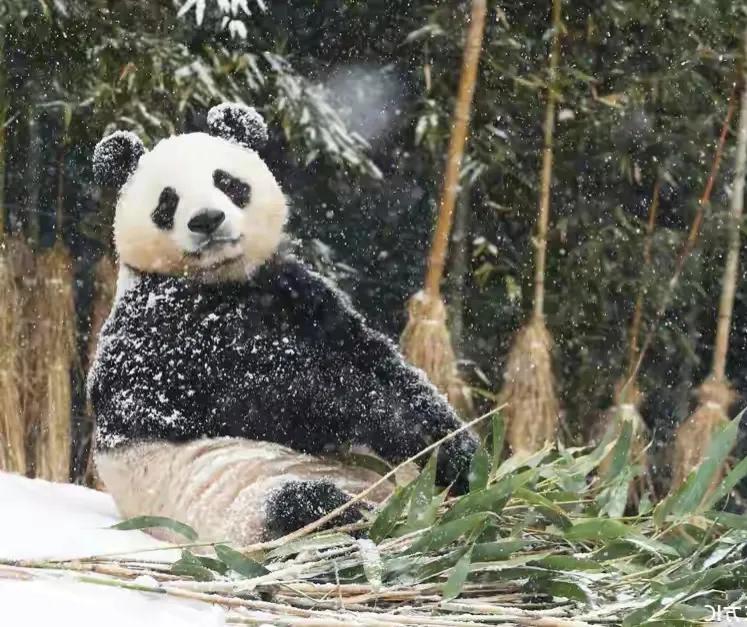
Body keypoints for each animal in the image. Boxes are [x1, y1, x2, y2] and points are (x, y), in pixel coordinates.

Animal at [88, 102, 478, 545]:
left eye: (226, 182)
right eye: (167, 202)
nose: (207, 219)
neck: (226, 279)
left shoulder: (297, 293)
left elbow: (382, 363)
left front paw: (457, 452)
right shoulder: (162, 332)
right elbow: (271, 395)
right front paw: (391, 422)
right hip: (243, 502)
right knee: (301, 507)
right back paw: (370, 523)